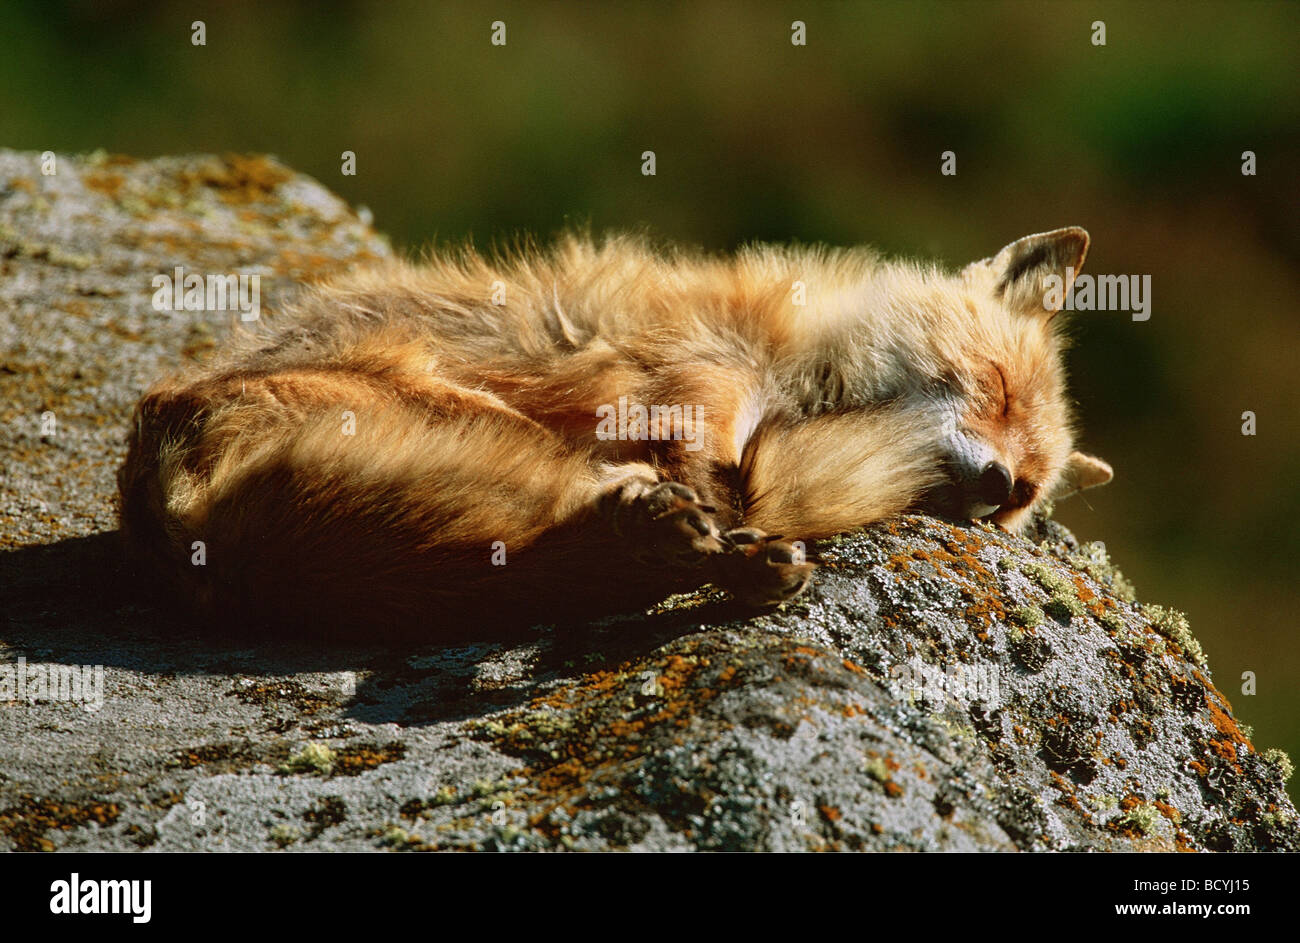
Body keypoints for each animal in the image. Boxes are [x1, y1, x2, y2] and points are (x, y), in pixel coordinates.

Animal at [117, 227, 1113, 640]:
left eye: (1025, 493)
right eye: (995, 386)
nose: (994, 485)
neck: (790, 364)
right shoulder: (675, 389)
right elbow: (717, 466)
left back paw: (713, 560)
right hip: (477, 419)